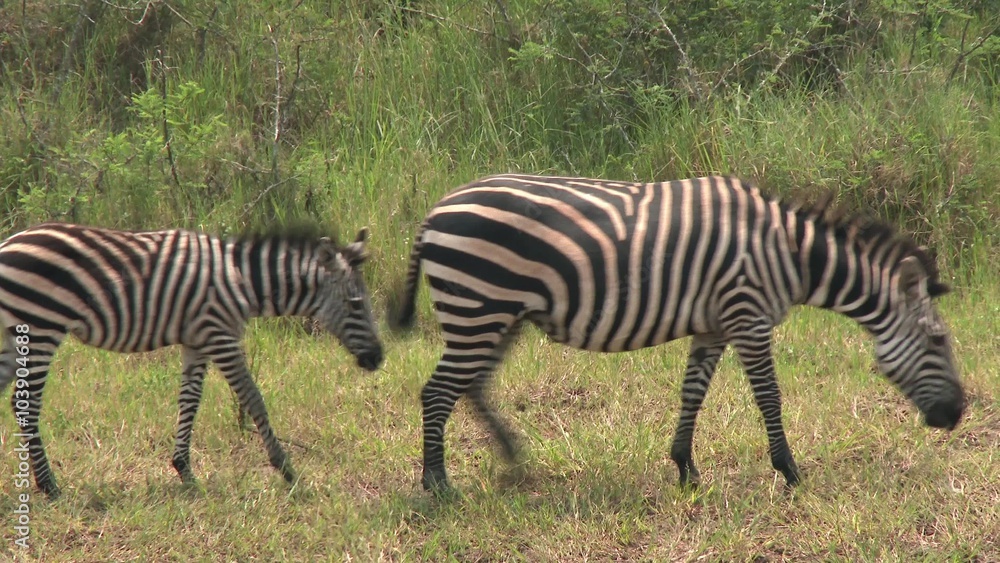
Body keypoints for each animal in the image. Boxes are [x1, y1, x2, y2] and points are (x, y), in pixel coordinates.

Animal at [0, 222, 384, 499]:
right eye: (355, 304)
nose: (378, 359)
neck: (244, 283)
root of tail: (9, 243)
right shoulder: (220, 337)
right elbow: (253, 399)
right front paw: (286, 469)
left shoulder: (197, 341)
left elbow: (190, 401)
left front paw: (183, 469)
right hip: (41, 329)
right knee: (25, 404)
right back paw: (50, 486)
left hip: (15, 336)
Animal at [388, 173, 965, 494]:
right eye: (938, 342)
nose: (957, 415)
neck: (790, 253)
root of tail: (434, 211)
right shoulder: (748, 315)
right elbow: (769, 398)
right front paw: (790, 472)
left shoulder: (714, 325)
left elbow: (693, 394)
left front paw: (685, 469)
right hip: (478, 307)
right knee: (438, 392)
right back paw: (438, 486)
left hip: (497, 314)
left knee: (472, 387)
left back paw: (510, 458)